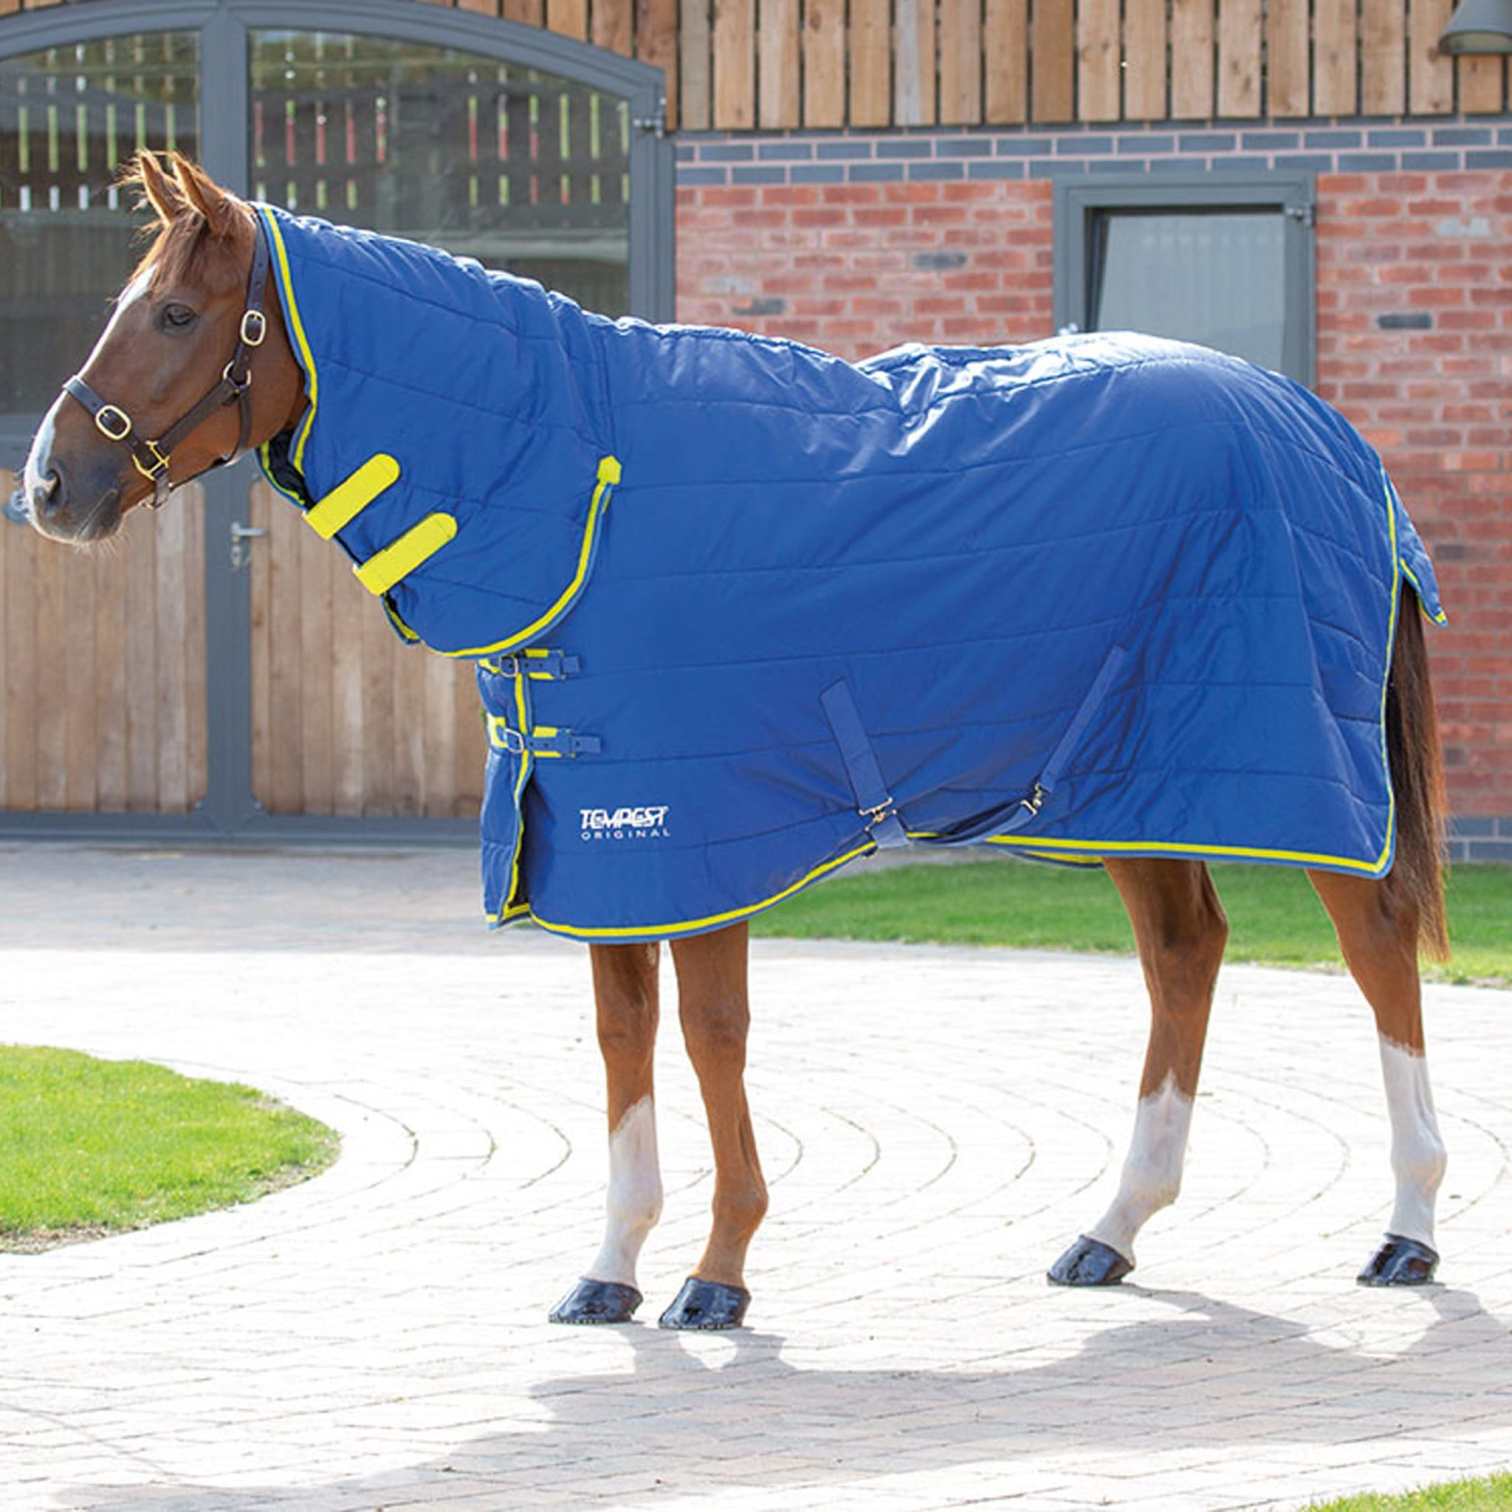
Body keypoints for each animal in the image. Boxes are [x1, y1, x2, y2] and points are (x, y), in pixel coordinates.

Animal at [15, 151, 1452, 1329]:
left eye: (177, 314)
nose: (47, 486)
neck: (582, 488)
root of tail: (1331, 438)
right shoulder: (591, 833)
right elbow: (622, 1039)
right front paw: (609, 1270)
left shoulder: (694, 829)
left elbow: (709, 1033)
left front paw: (716, 1274)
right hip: (1141, 778)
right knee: (1185, 954)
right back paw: (1111, 1231)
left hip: (1297, 767)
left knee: (1375, 946)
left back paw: (1408, 1229)